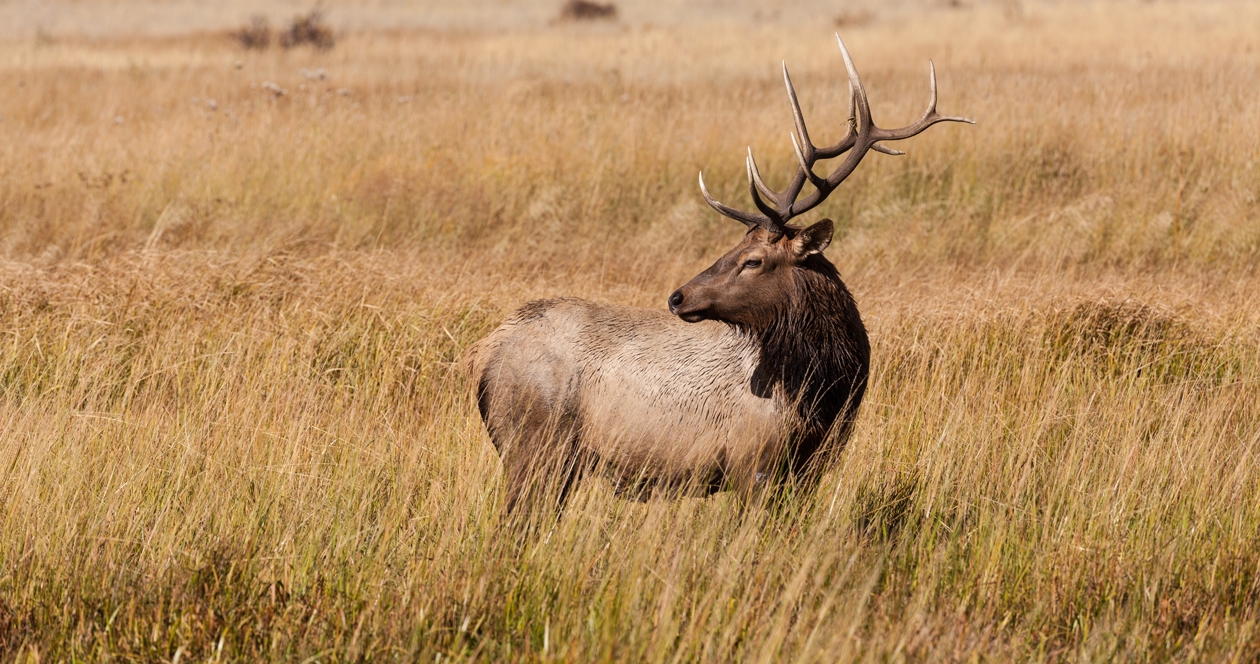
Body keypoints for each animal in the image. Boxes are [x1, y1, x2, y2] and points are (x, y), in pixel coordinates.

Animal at [465, 35, 972, 520]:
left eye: (752, 260)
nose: (677, 296)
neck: (825, 393)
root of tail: (485, 353)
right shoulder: (753, 463)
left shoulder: (813, 465)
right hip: (535, 446)